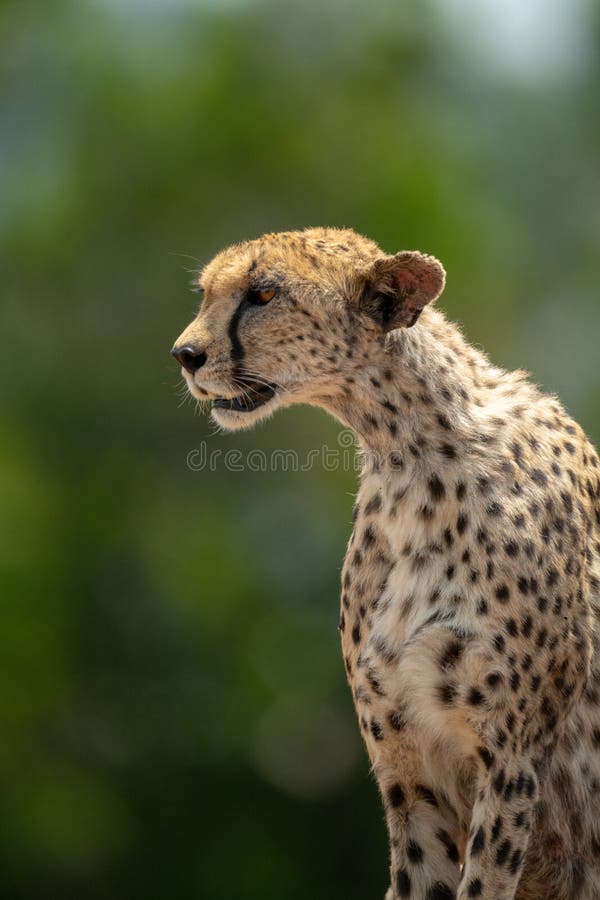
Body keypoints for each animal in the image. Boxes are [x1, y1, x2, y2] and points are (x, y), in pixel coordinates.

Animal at [171, 227, 600, 899]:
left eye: (263, 293)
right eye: (207, 293)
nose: (184, 354)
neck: (409, 453)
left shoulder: (512, 760)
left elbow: (483, 881)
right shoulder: (406, 766)